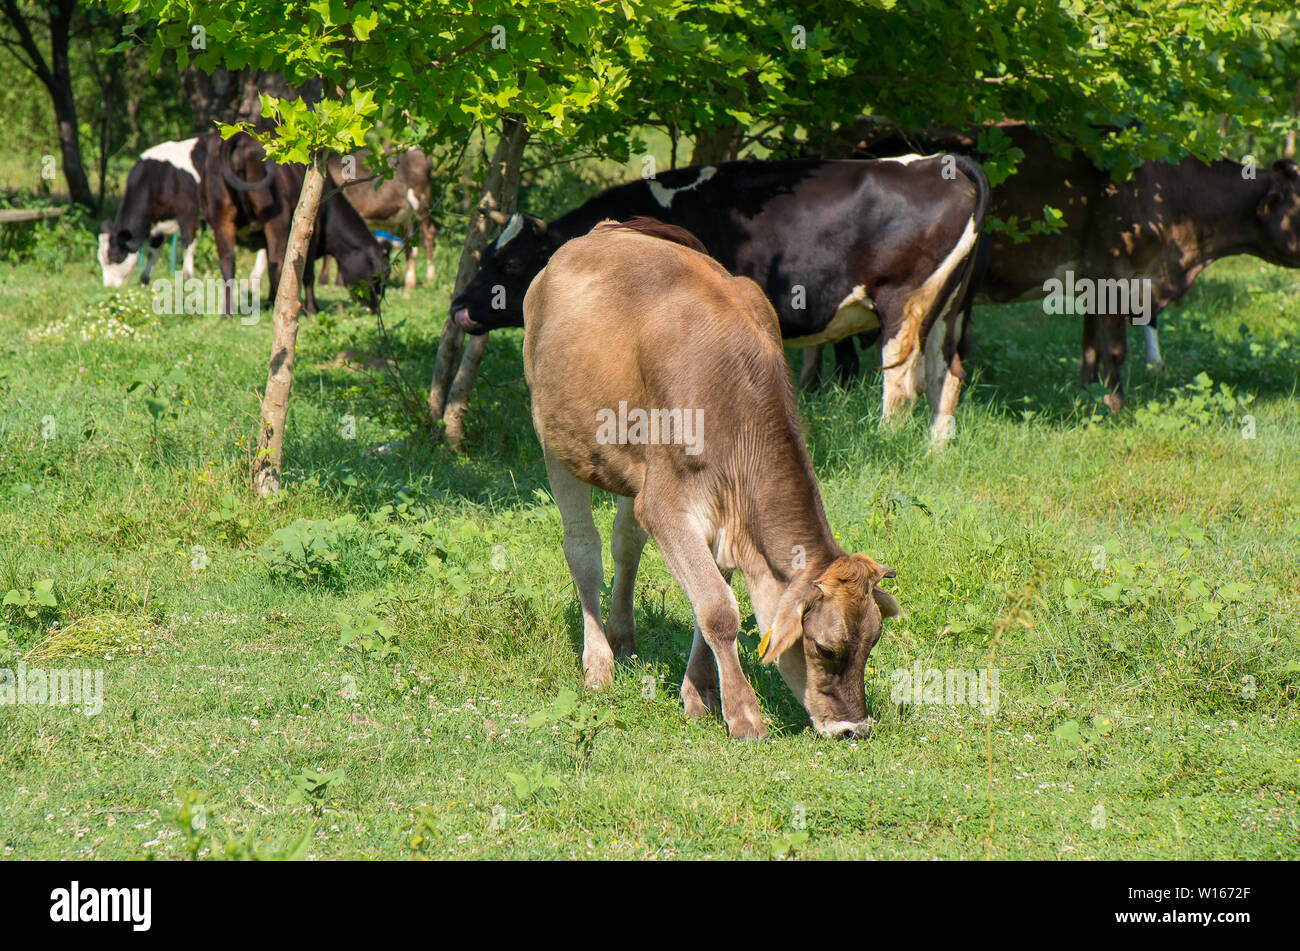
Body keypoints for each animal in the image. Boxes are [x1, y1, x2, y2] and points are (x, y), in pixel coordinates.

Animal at [198, 131, 389, 315]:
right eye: (376, 278)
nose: (375, 308)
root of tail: (240, 137)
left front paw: (269, 302)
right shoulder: (312, 231)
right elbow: (308, 273)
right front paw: (312, 309)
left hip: (222, 219)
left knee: (228, 262)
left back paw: (228, 313)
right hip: (276, 218)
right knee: (276, 262)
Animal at [326, 148, 437, 291]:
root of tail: (417, 149)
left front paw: (337, 283)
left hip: (420, 200)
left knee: (428, 235)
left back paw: (429, 281)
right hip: (406, 215)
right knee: (409, 246)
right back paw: (409, 284)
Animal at [451, 156, 989, 446]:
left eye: (511, 265)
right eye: (486, 253)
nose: (458, 308)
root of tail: (934, 163)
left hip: (901, 303)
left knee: (900, 385)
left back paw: (885, 442)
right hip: (947, 308)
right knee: (948, 375)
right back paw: (936, 450)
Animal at [524, 217, 901, 739]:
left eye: (872, 643)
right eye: (826, 647)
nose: (855, 729)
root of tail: (605, 228)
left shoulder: (720, 518)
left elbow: (709, 602)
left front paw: (699, 692)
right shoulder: (666, 504)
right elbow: (719, 610)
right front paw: (744, 715)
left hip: (632, 473)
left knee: (625, 544)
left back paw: (623, 639)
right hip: (557, 442)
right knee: (584, 551)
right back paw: (598, 664)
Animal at [859, 123, 1300, 410]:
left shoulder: (1095, 280)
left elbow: (1091, 347)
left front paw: (1086, 396)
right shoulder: (1117, 273)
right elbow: (1116, 350)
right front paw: (1116, 408)